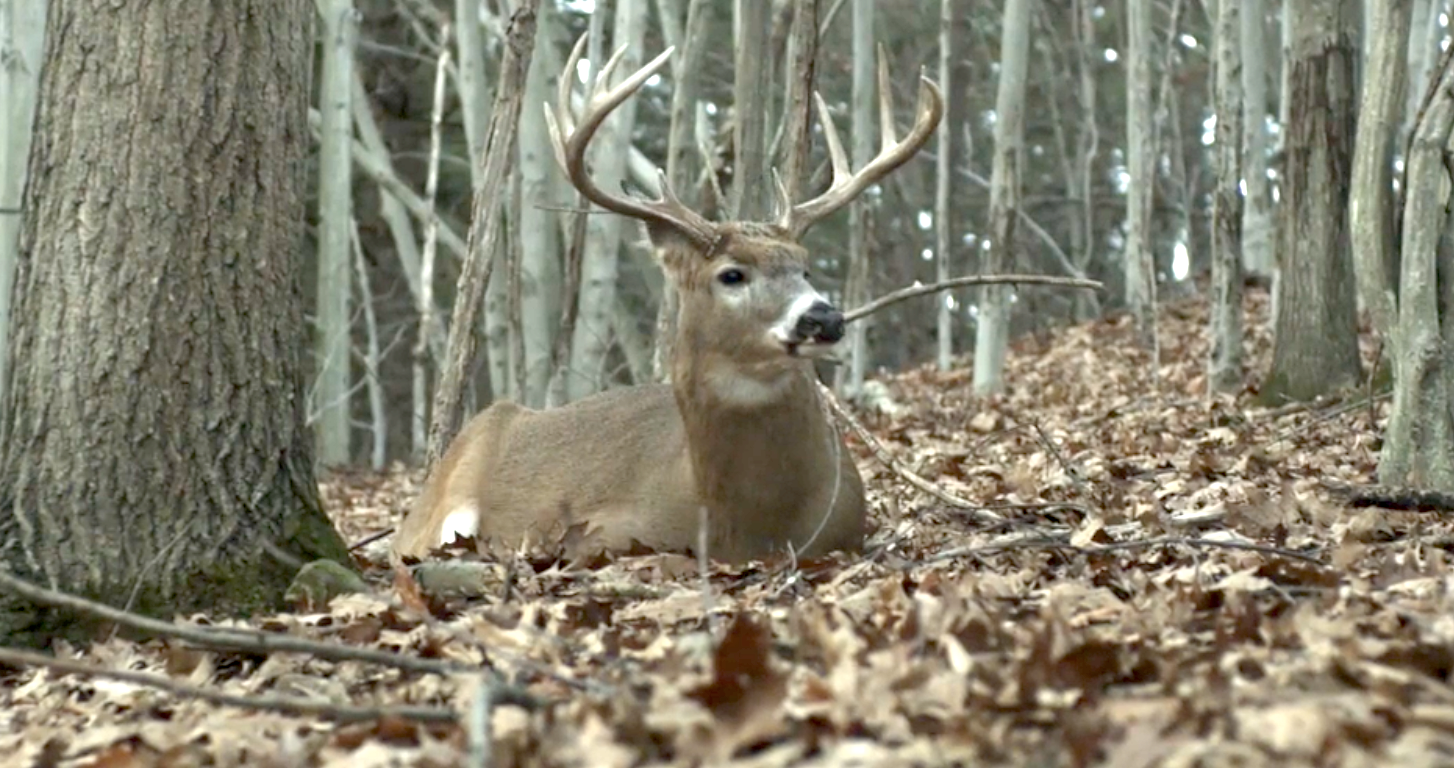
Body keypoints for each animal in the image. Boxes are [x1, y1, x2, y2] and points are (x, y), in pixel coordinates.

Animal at [392, 34, 943, 565]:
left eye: (803, 267)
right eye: (731, 275)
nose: (823, 317)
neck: (750, 523)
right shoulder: (605, 531)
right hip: (437, 511)